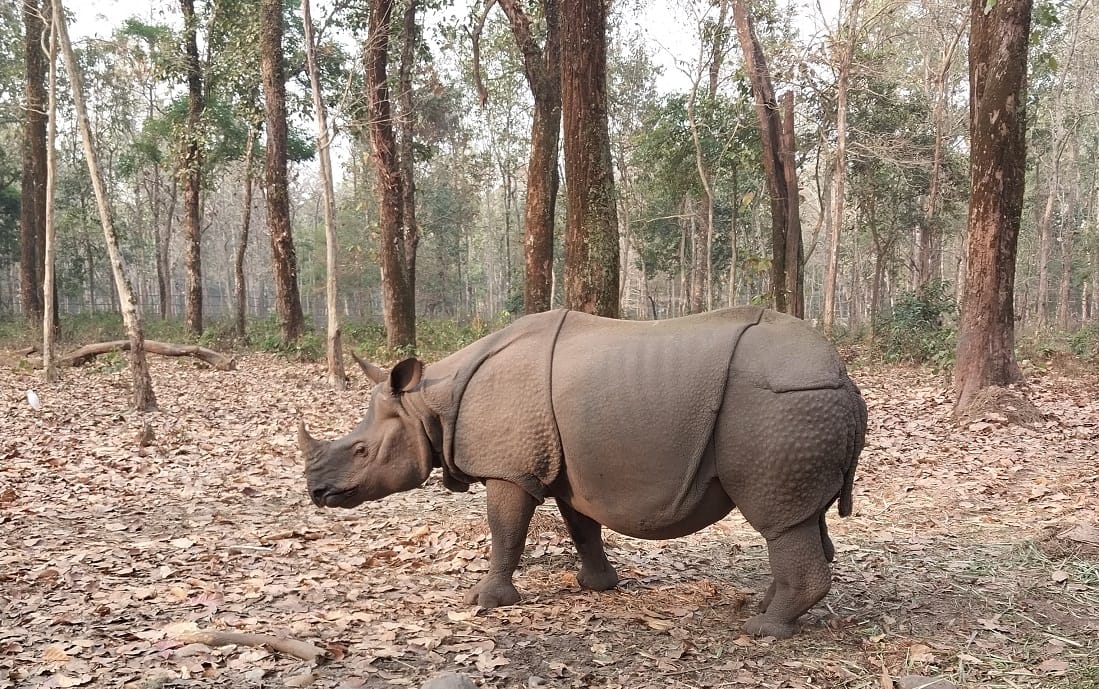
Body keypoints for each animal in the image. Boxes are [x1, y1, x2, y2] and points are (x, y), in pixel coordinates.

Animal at [299, 307, 867, 639]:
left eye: (361, 451)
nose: (316, 491)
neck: (429, 402)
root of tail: (843, 376)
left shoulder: (511, 470)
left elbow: (505, 531)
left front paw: (485, 602)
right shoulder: (569, 469)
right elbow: (582, 527)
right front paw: (597, 586)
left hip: (780, 407)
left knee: (778, 518)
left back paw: (762, 630)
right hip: (799, 410)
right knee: (804, 517)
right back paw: (766, 609)